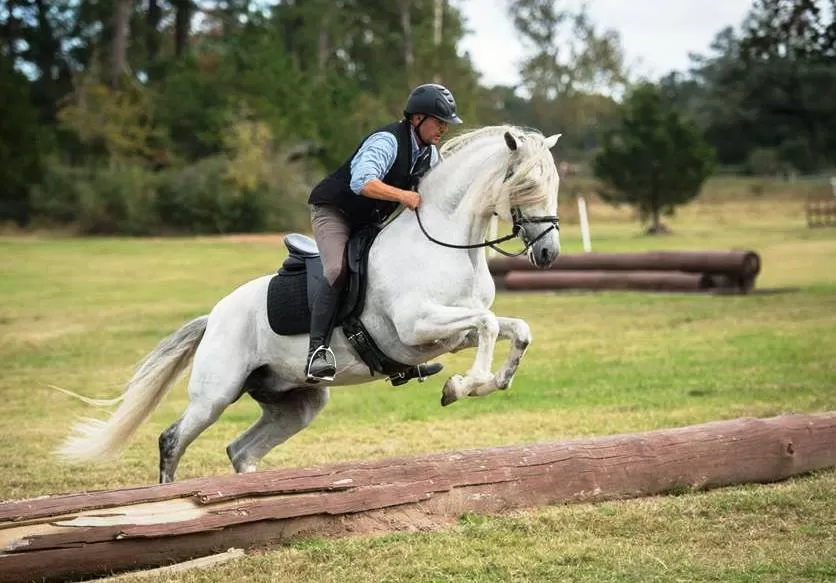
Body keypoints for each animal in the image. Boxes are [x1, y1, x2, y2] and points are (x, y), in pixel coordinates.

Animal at [55, 124, 560, 484]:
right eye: (525, 185)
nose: (549, 254)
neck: (445, 242)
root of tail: (214, 316)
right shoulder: (416, 326)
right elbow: (490, 325)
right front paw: (461, 386)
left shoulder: (450, 334)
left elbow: (515, 329)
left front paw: (488, 382)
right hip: (215, 393)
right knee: (172, 440)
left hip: (296, 401)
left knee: (240, 450)